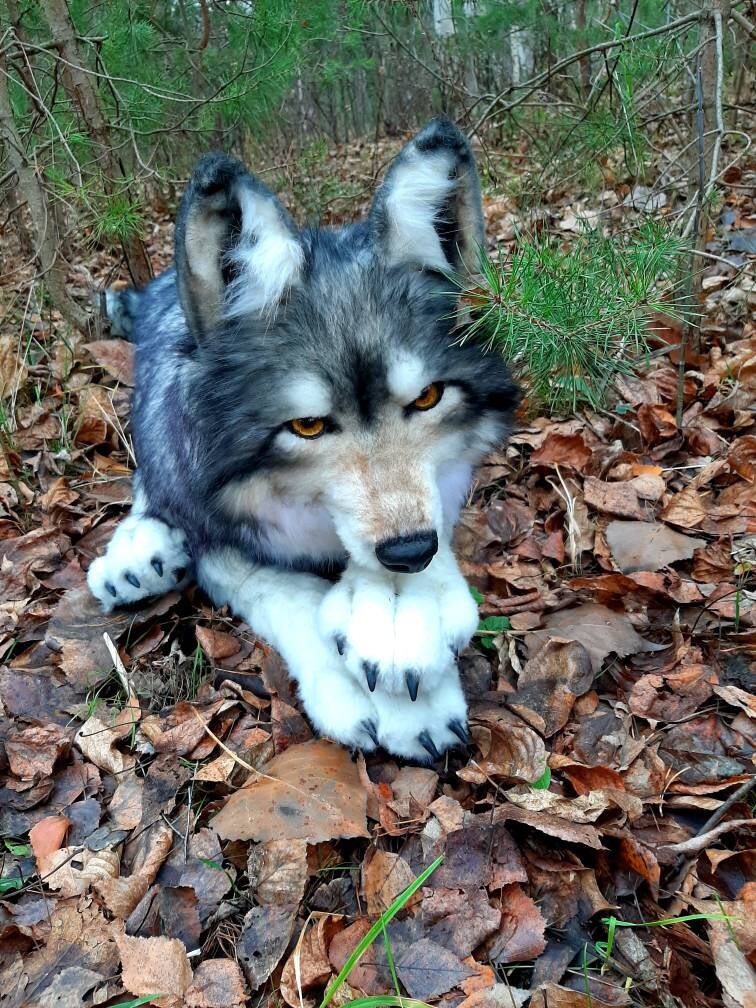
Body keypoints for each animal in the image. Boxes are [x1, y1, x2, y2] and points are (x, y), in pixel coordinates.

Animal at [87, 117, 518, 762]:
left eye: (426, 398)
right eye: (308, 426)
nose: (408, 553)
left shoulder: (438, 494)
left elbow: (431, 522)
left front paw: (405, 622)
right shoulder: (222, 537)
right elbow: (286, 593)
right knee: (151, 483)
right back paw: (138, 551)